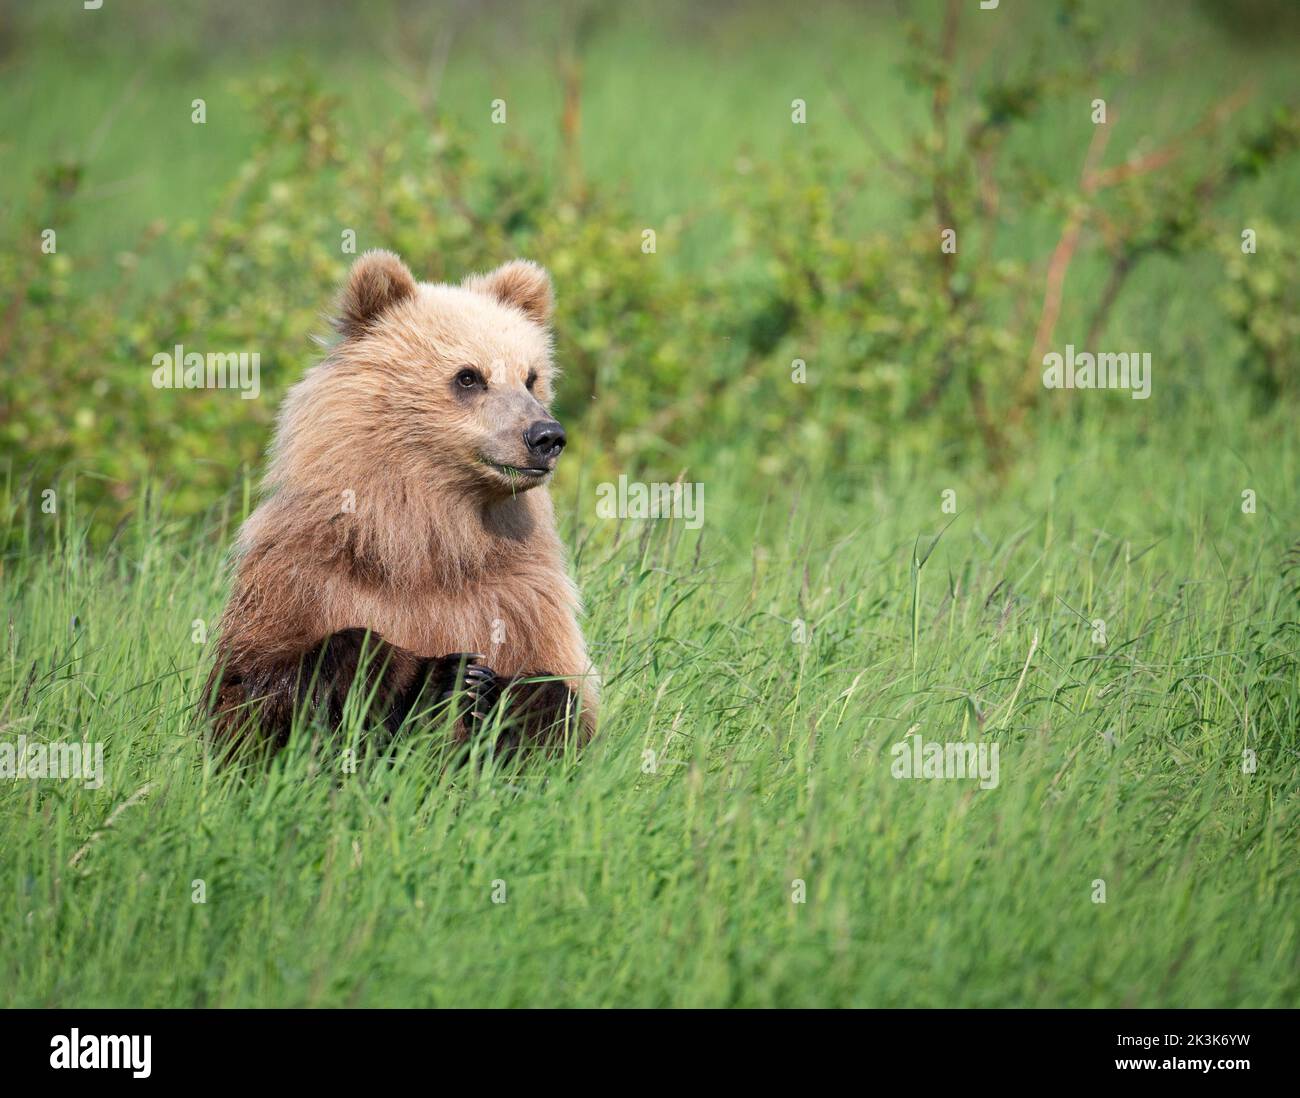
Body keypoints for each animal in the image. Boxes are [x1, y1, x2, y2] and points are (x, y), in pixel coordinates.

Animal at [205, 250, 598, 755]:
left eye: (531, 378)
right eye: (468, 377)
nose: (546, 436)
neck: (422, 544)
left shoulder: (520, 593)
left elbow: (567, 701)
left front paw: (494, 693)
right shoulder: (302, 576)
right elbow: (251, 693)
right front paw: (439, 673)